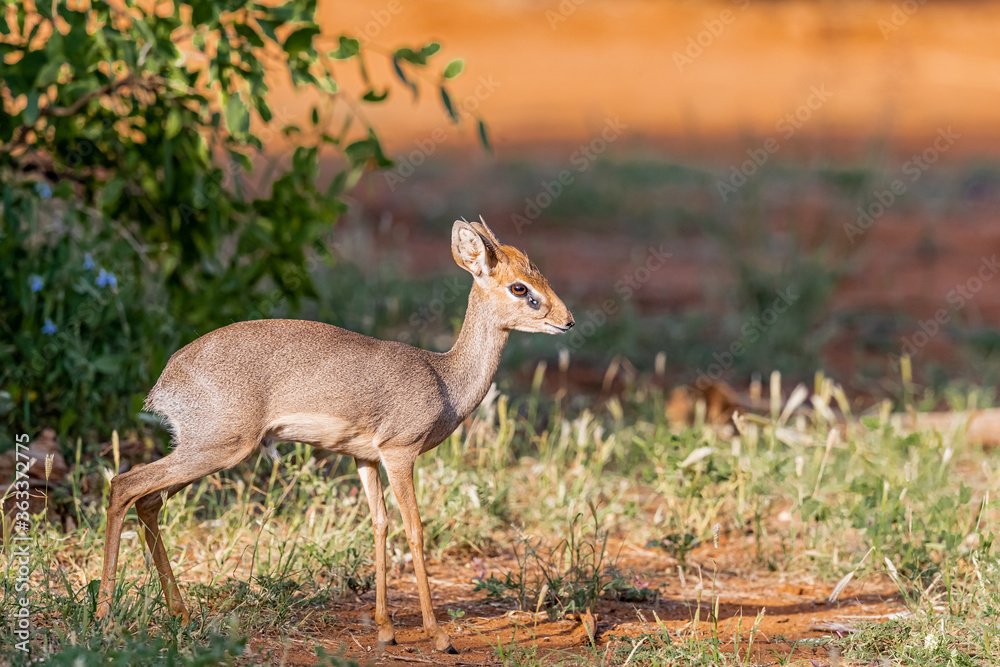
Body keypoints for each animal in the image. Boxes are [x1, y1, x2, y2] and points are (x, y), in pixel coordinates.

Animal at [95, 218, 574, 653]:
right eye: (519, 288)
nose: (567, 321)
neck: (445, 378)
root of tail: (166, 380)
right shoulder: (400, 453)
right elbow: (415, 529)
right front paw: (438, 637)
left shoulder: (365, 458)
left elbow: (379, 524)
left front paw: (385, 629)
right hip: (217, 451)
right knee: (124, 485)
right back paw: (104, 618)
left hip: (204, 453)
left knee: (148, 502)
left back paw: (179, 613)